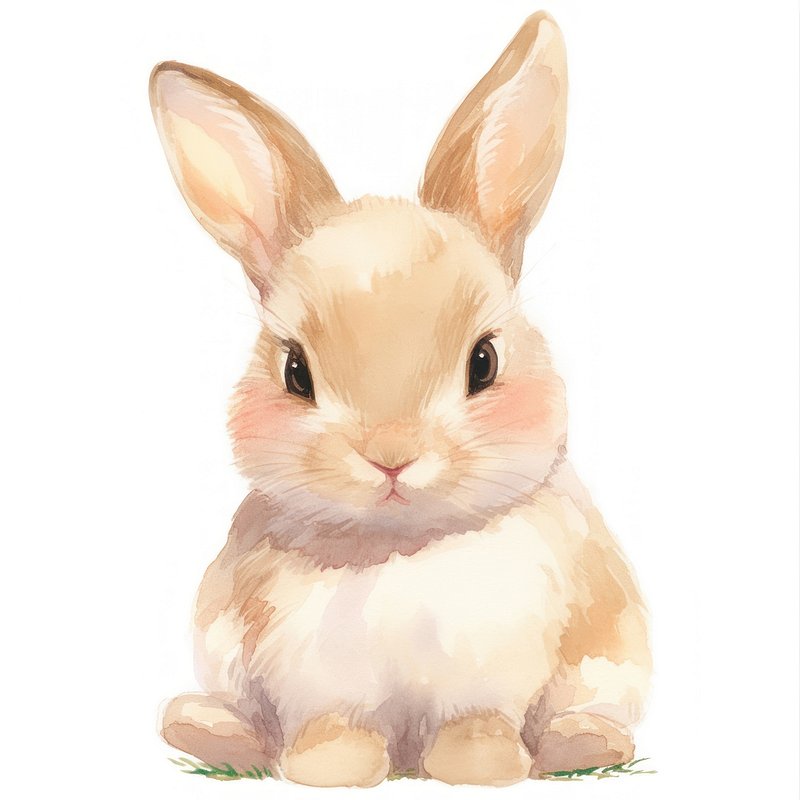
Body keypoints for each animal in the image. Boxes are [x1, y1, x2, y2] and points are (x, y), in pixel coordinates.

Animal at [150, 11, 651, 787]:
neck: (397, 546)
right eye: (295, 371)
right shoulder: (316, 678)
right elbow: (334, 725)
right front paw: (332, 768)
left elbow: (477, 720)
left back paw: (580, 746)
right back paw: (213, 733)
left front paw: (478, 765)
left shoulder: (492, 670)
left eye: (485, 360)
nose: (391, 456)